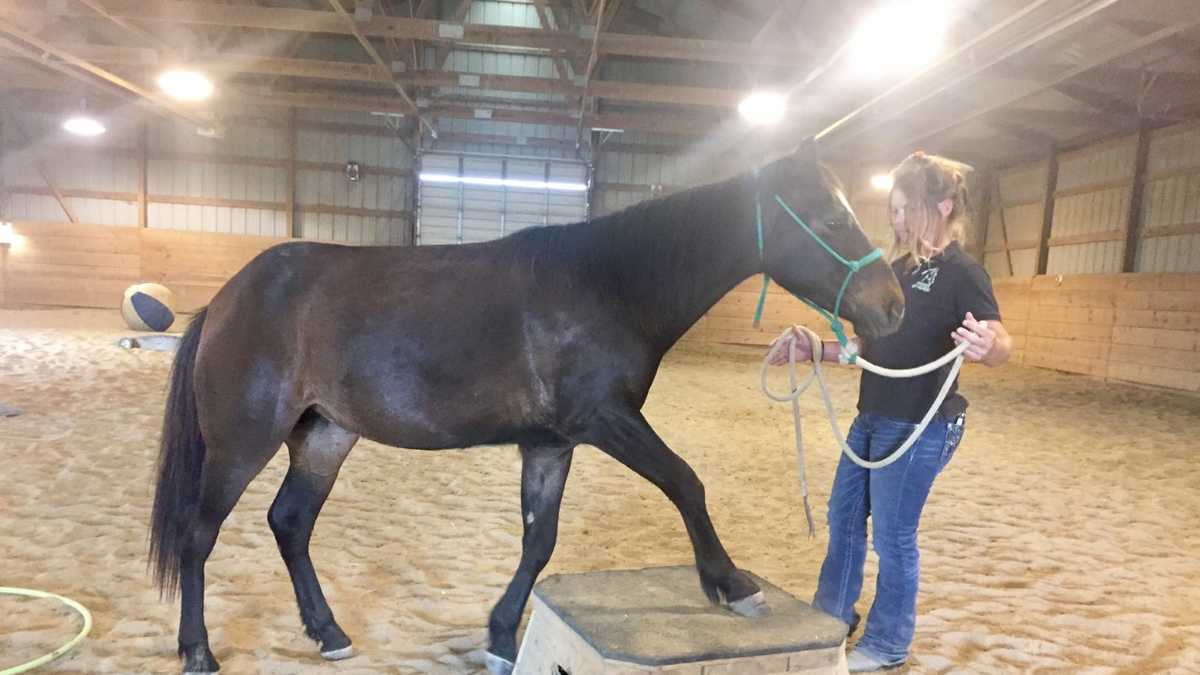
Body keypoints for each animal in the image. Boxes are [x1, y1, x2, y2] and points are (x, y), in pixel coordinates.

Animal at [149, 141, 905, 675]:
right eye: (831, 216)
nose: (893, 306)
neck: (607, 286)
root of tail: (227, 297)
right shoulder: (607, 421)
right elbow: (685, 481)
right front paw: (732, 583)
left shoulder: (552, 443)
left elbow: (539, 541)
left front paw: (501, 636)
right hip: (242, 442)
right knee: (199, 534)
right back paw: (199, 652)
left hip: (326, 436)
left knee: (289, 523)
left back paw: (330, 633)